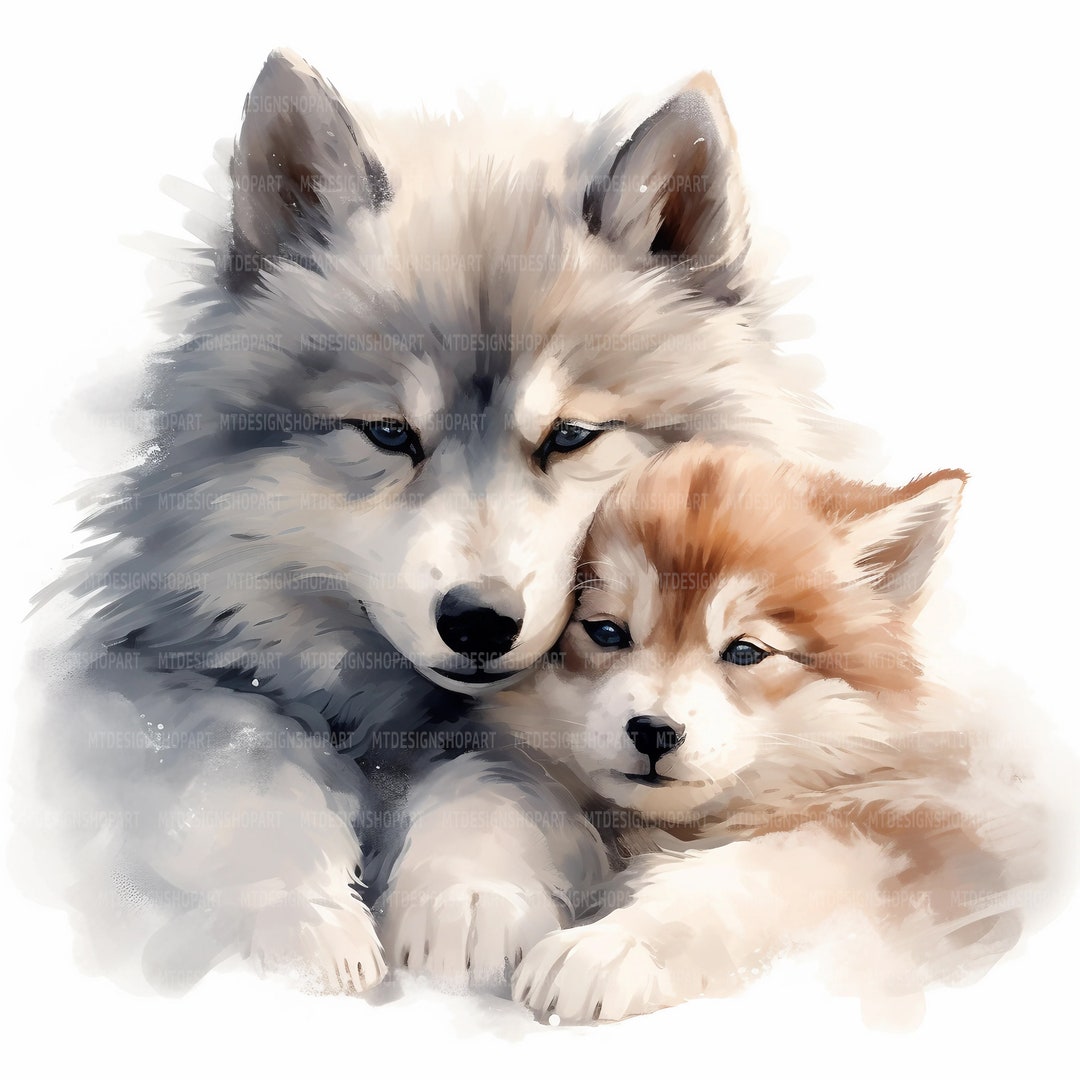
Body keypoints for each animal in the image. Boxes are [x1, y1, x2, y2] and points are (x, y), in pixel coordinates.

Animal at [17, 49, 862, 995]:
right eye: (389, 434)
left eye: (571, 436)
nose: (480, 622)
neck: (398, 718)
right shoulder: (165, 676)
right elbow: (241, 772)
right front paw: (305, 933)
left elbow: (493, 780)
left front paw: (470, 899)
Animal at [498, 441, 1057, 1022]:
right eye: (607, 631)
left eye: (746, 652)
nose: (653, 731)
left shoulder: (916, 825)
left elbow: (756, 871)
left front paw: (612, 942)